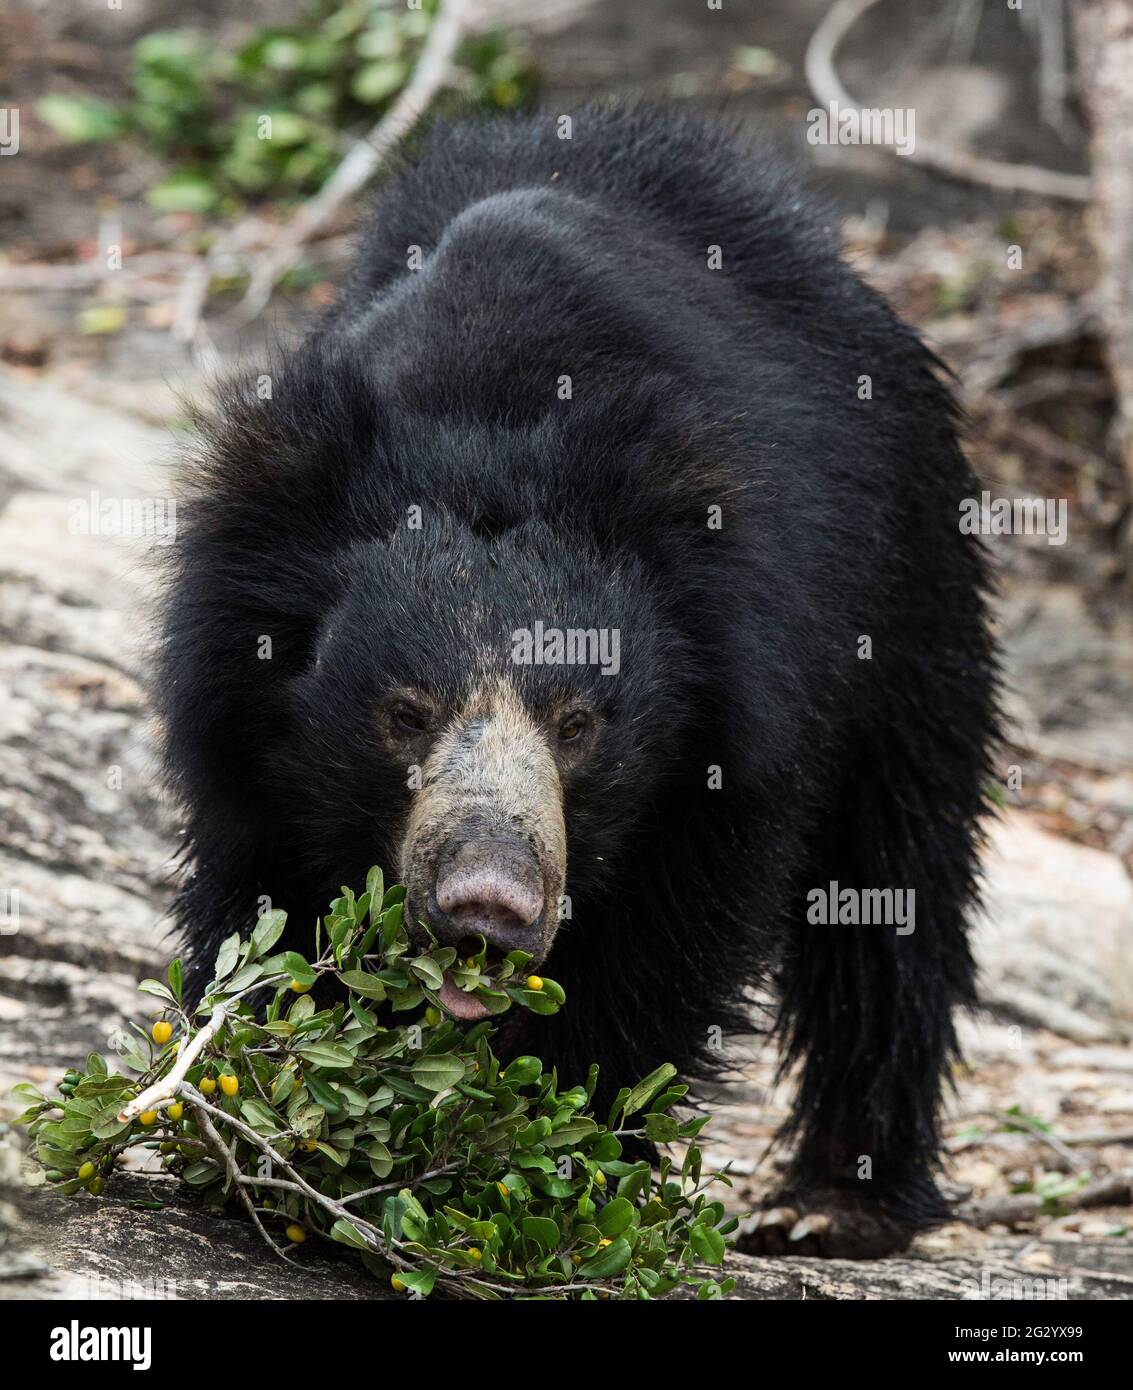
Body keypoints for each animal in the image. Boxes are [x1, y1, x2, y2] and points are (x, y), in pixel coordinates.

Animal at [157, 106, 998, 1259]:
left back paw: (836, 1202)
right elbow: (268, 905)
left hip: (915, 600)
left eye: (578, 725)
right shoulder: (235, 712)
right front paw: (296, 1135)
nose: (486, 906)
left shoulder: (743, 714)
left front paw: (546, 1165)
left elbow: (661, 952)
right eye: (402, 714)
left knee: (895, 876)